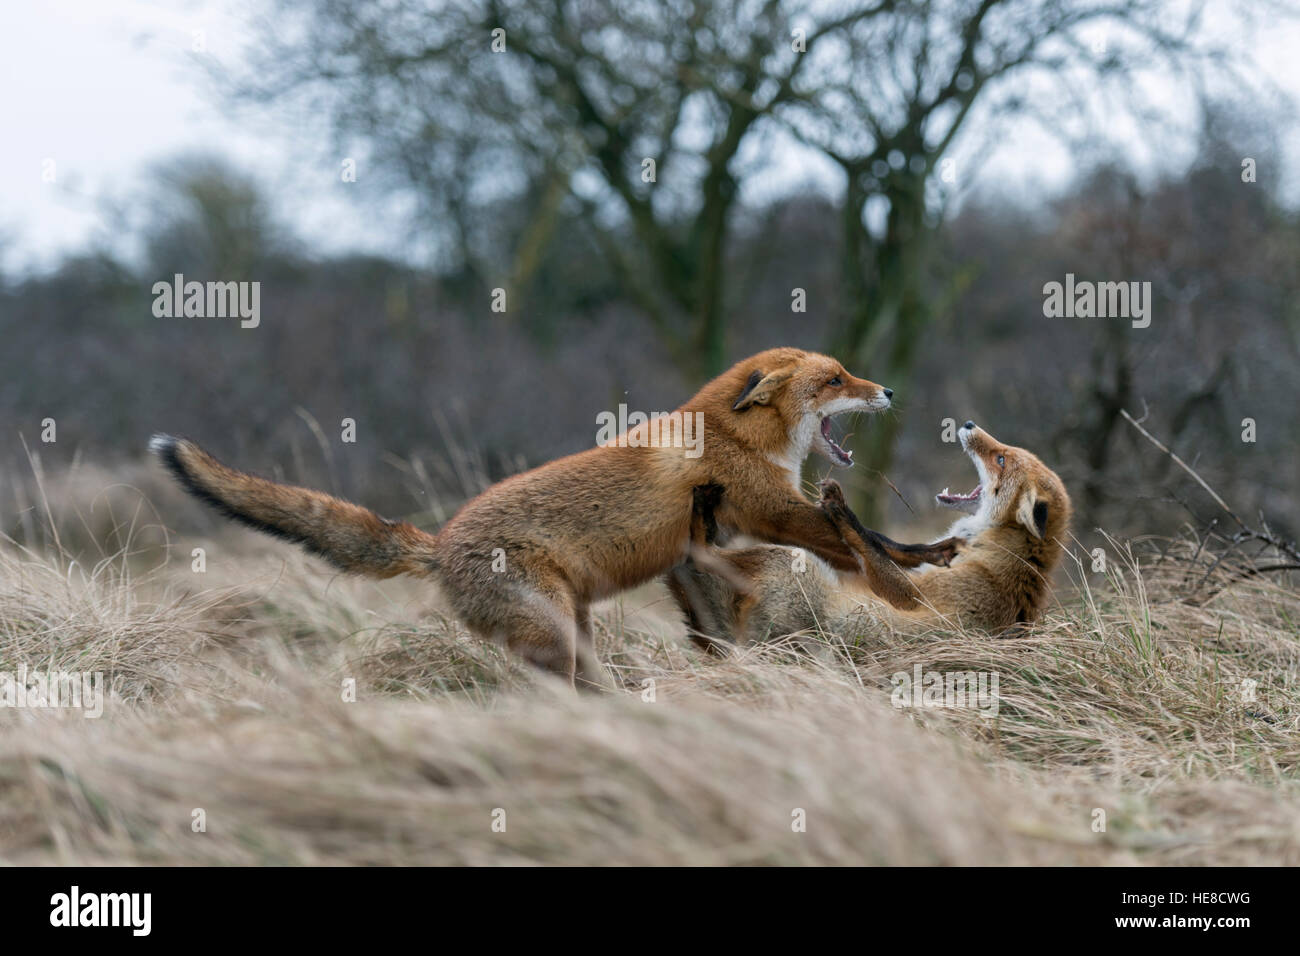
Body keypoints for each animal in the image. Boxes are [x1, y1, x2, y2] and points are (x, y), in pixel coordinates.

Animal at [150, 347, 957, 688]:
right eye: (836, 379)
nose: (888, 391)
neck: (736, 438)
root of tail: (439, 543)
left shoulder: (726, 539)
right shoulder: (776, 512)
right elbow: (866, 540)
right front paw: (921, 562)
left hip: (576, 633)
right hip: (556, 637)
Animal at [670, 421, 1072, 645]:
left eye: (1001, 459)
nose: (970, 424)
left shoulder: (919, 597)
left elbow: (866, 543)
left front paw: (841, 509)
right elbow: (885, 546)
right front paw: (930, 549)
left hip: (792, 562)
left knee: (699, 554)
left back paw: (700, 517)